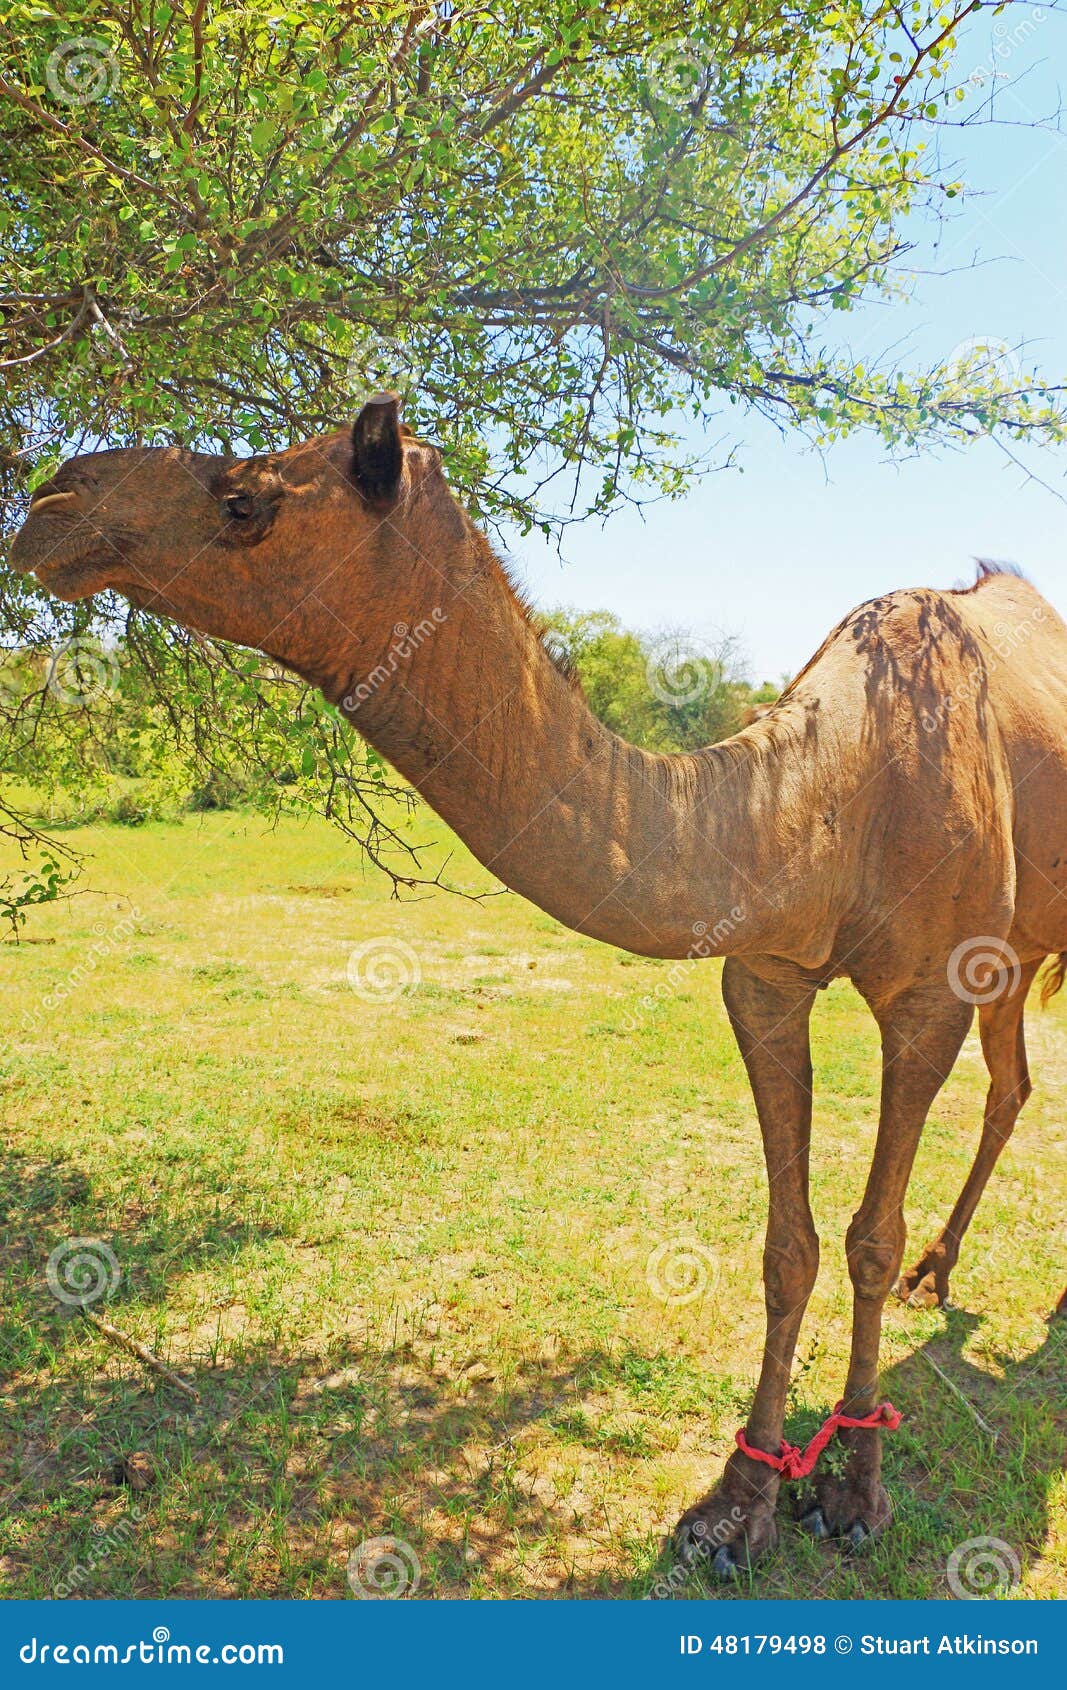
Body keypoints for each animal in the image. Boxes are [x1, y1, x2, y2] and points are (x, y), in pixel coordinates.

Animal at [11, 395, 1067, 1577]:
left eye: (245, 501)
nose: (50, 503)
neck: (831, 797)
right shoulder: (763, 975)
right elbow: (785, 1246)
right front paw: (736, 1500)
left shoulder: (925, 995)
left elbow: (866, 1242)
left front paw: (853, 1488)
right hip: (1015, 951)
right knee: (1013, 1085)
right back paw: (944, 1271)